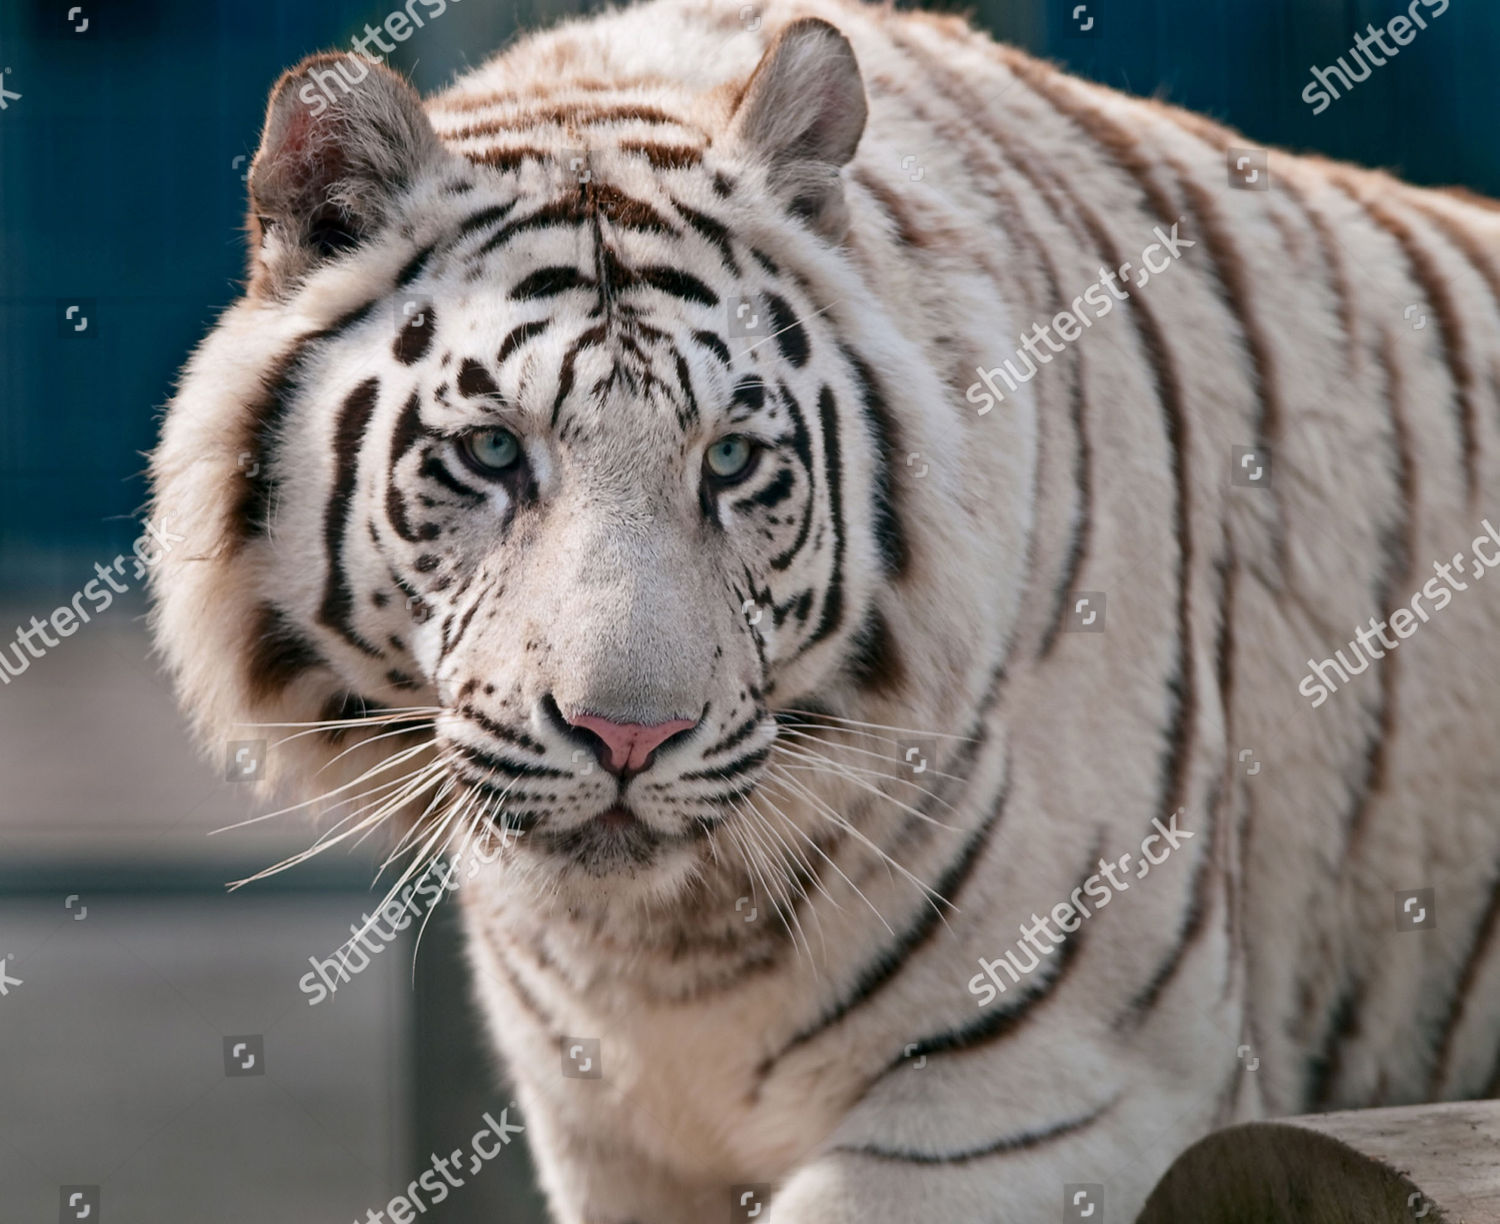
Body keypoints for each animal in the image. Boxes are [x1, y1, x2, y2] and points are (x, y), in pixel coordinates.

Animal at [148, 0, 1500, 1220]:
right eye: (490, 452)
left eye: (733, 461)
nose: (629, 735)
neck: (658, 953)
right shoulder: (613, 1145)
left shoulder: (1037, 1102)